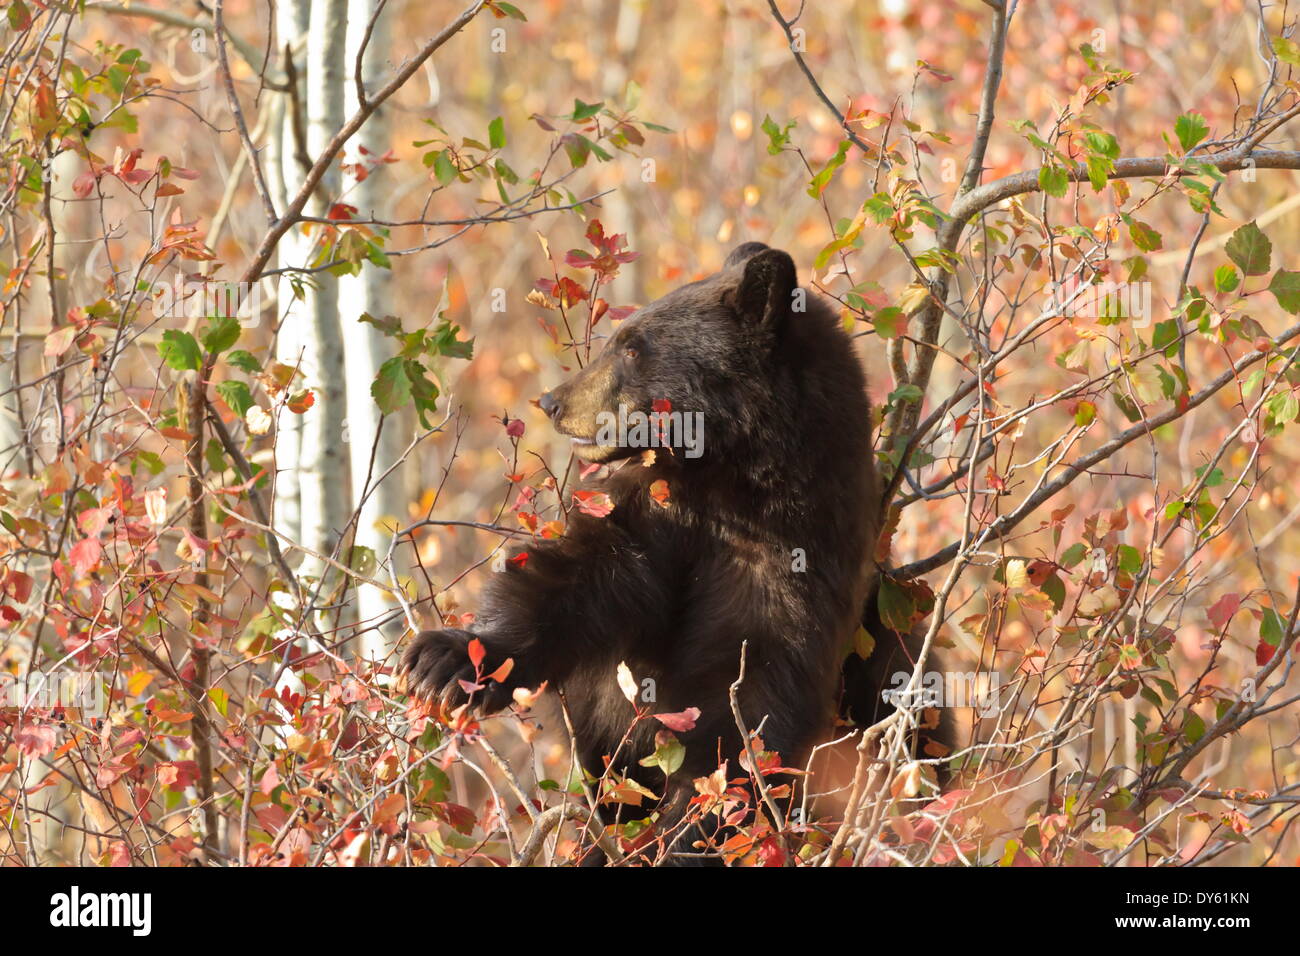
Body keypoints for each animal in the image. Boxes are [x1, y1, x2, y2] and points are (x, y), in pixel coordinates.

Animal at [400, 241, 941, 864]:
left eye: (634, 348)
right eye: (620, 338)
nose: (553, 401)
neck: (732, 484)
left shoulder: (797, 555)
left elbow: (749, 689)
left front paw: (689, 827)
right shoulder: (655, 510)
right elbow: (575, 578)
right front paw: (447, 659)